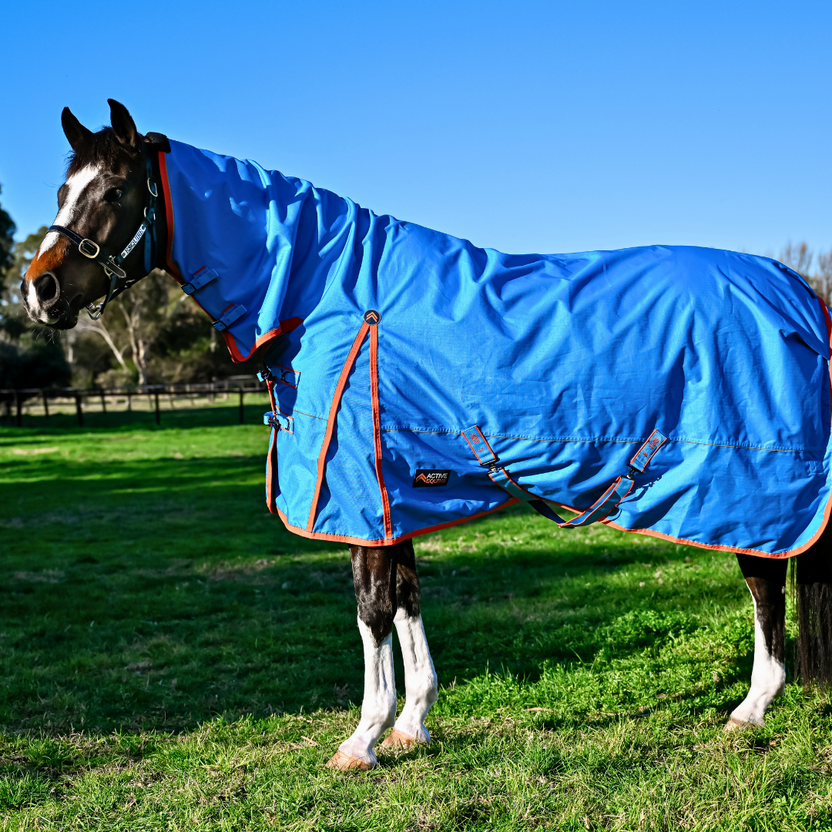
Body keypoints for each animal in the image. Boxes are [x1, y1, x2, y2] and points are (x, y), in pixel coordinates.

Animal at [22, 101, 832, 771]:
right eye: (63, 192)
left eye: (115, 191)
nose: (39, 290)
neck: (326, 288)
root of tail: (796, 289)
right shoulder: (394, 498)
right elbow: (408, 602)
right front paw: (413, 723)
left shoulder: (359, 498)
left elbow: (372, 613)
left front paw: (363, 740)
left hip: (751, 494)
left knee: (765, 585)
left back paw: (750, 711)